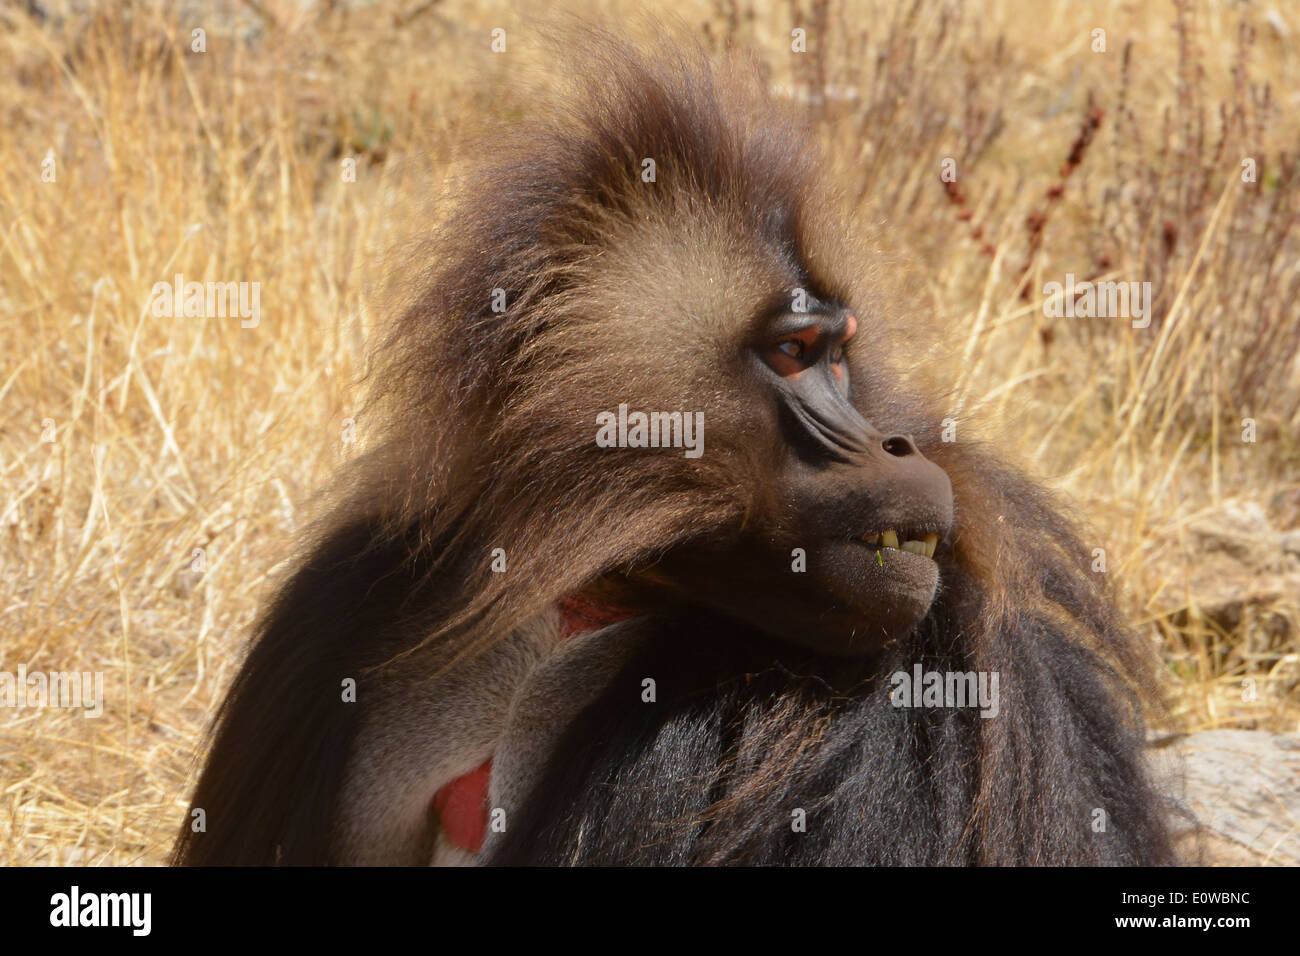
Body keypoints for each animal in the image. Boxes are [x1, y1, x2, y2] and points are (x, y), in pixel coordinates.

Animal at [173, 33, 1174, 866]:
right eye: (793, 352)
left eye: (839, 352)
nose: (897, 446)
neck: (599, 588)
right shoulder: (361, 588)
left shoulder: (946, 665)